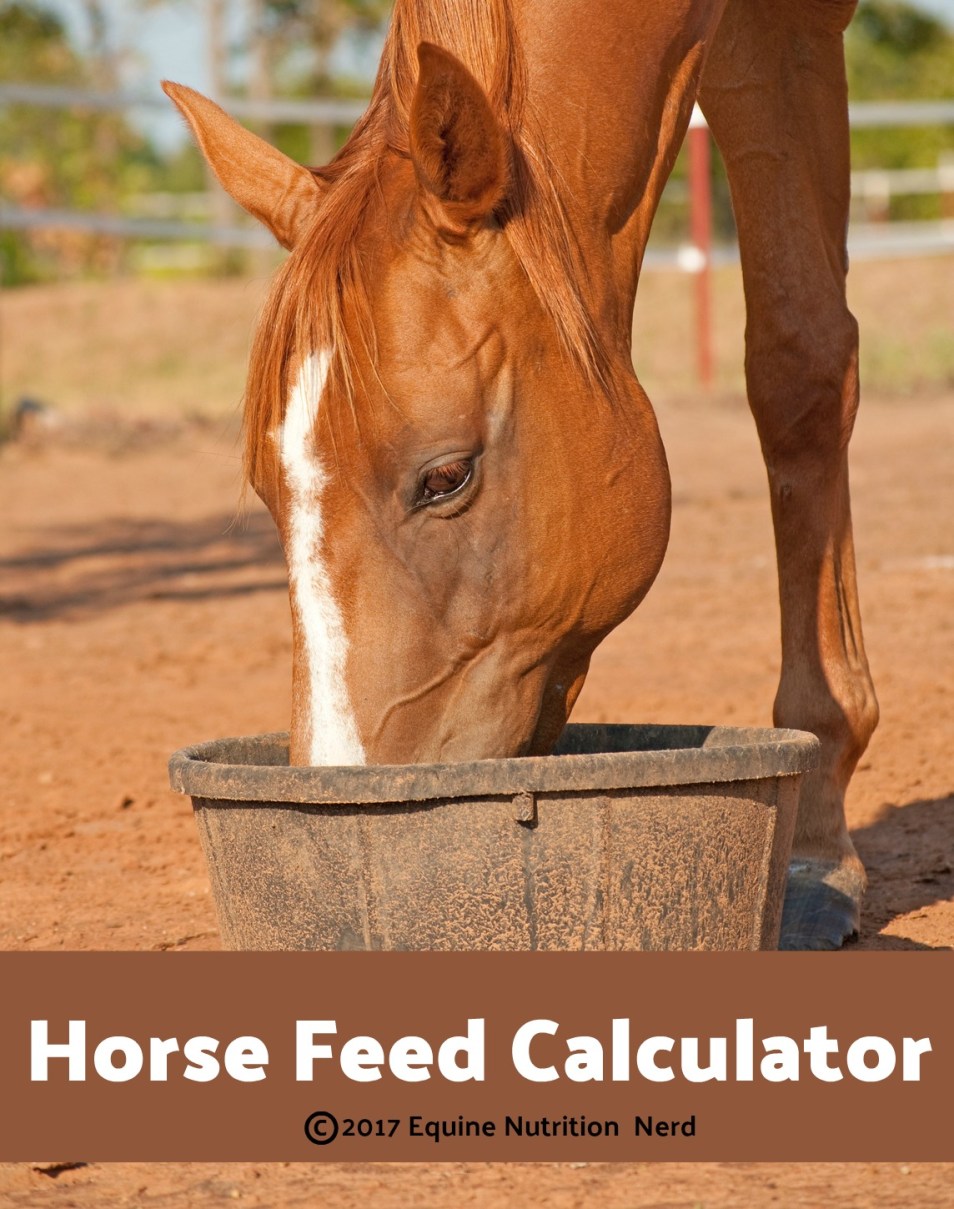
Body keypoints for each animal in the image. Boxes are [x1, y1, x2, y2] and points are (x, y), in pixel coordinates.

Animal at [164, 0, 878, 950]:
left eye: (445, 476)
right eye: (267, 491)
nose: (348, 782)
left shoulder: (792, 27)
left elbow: (800, 362)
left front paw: (816, 858)